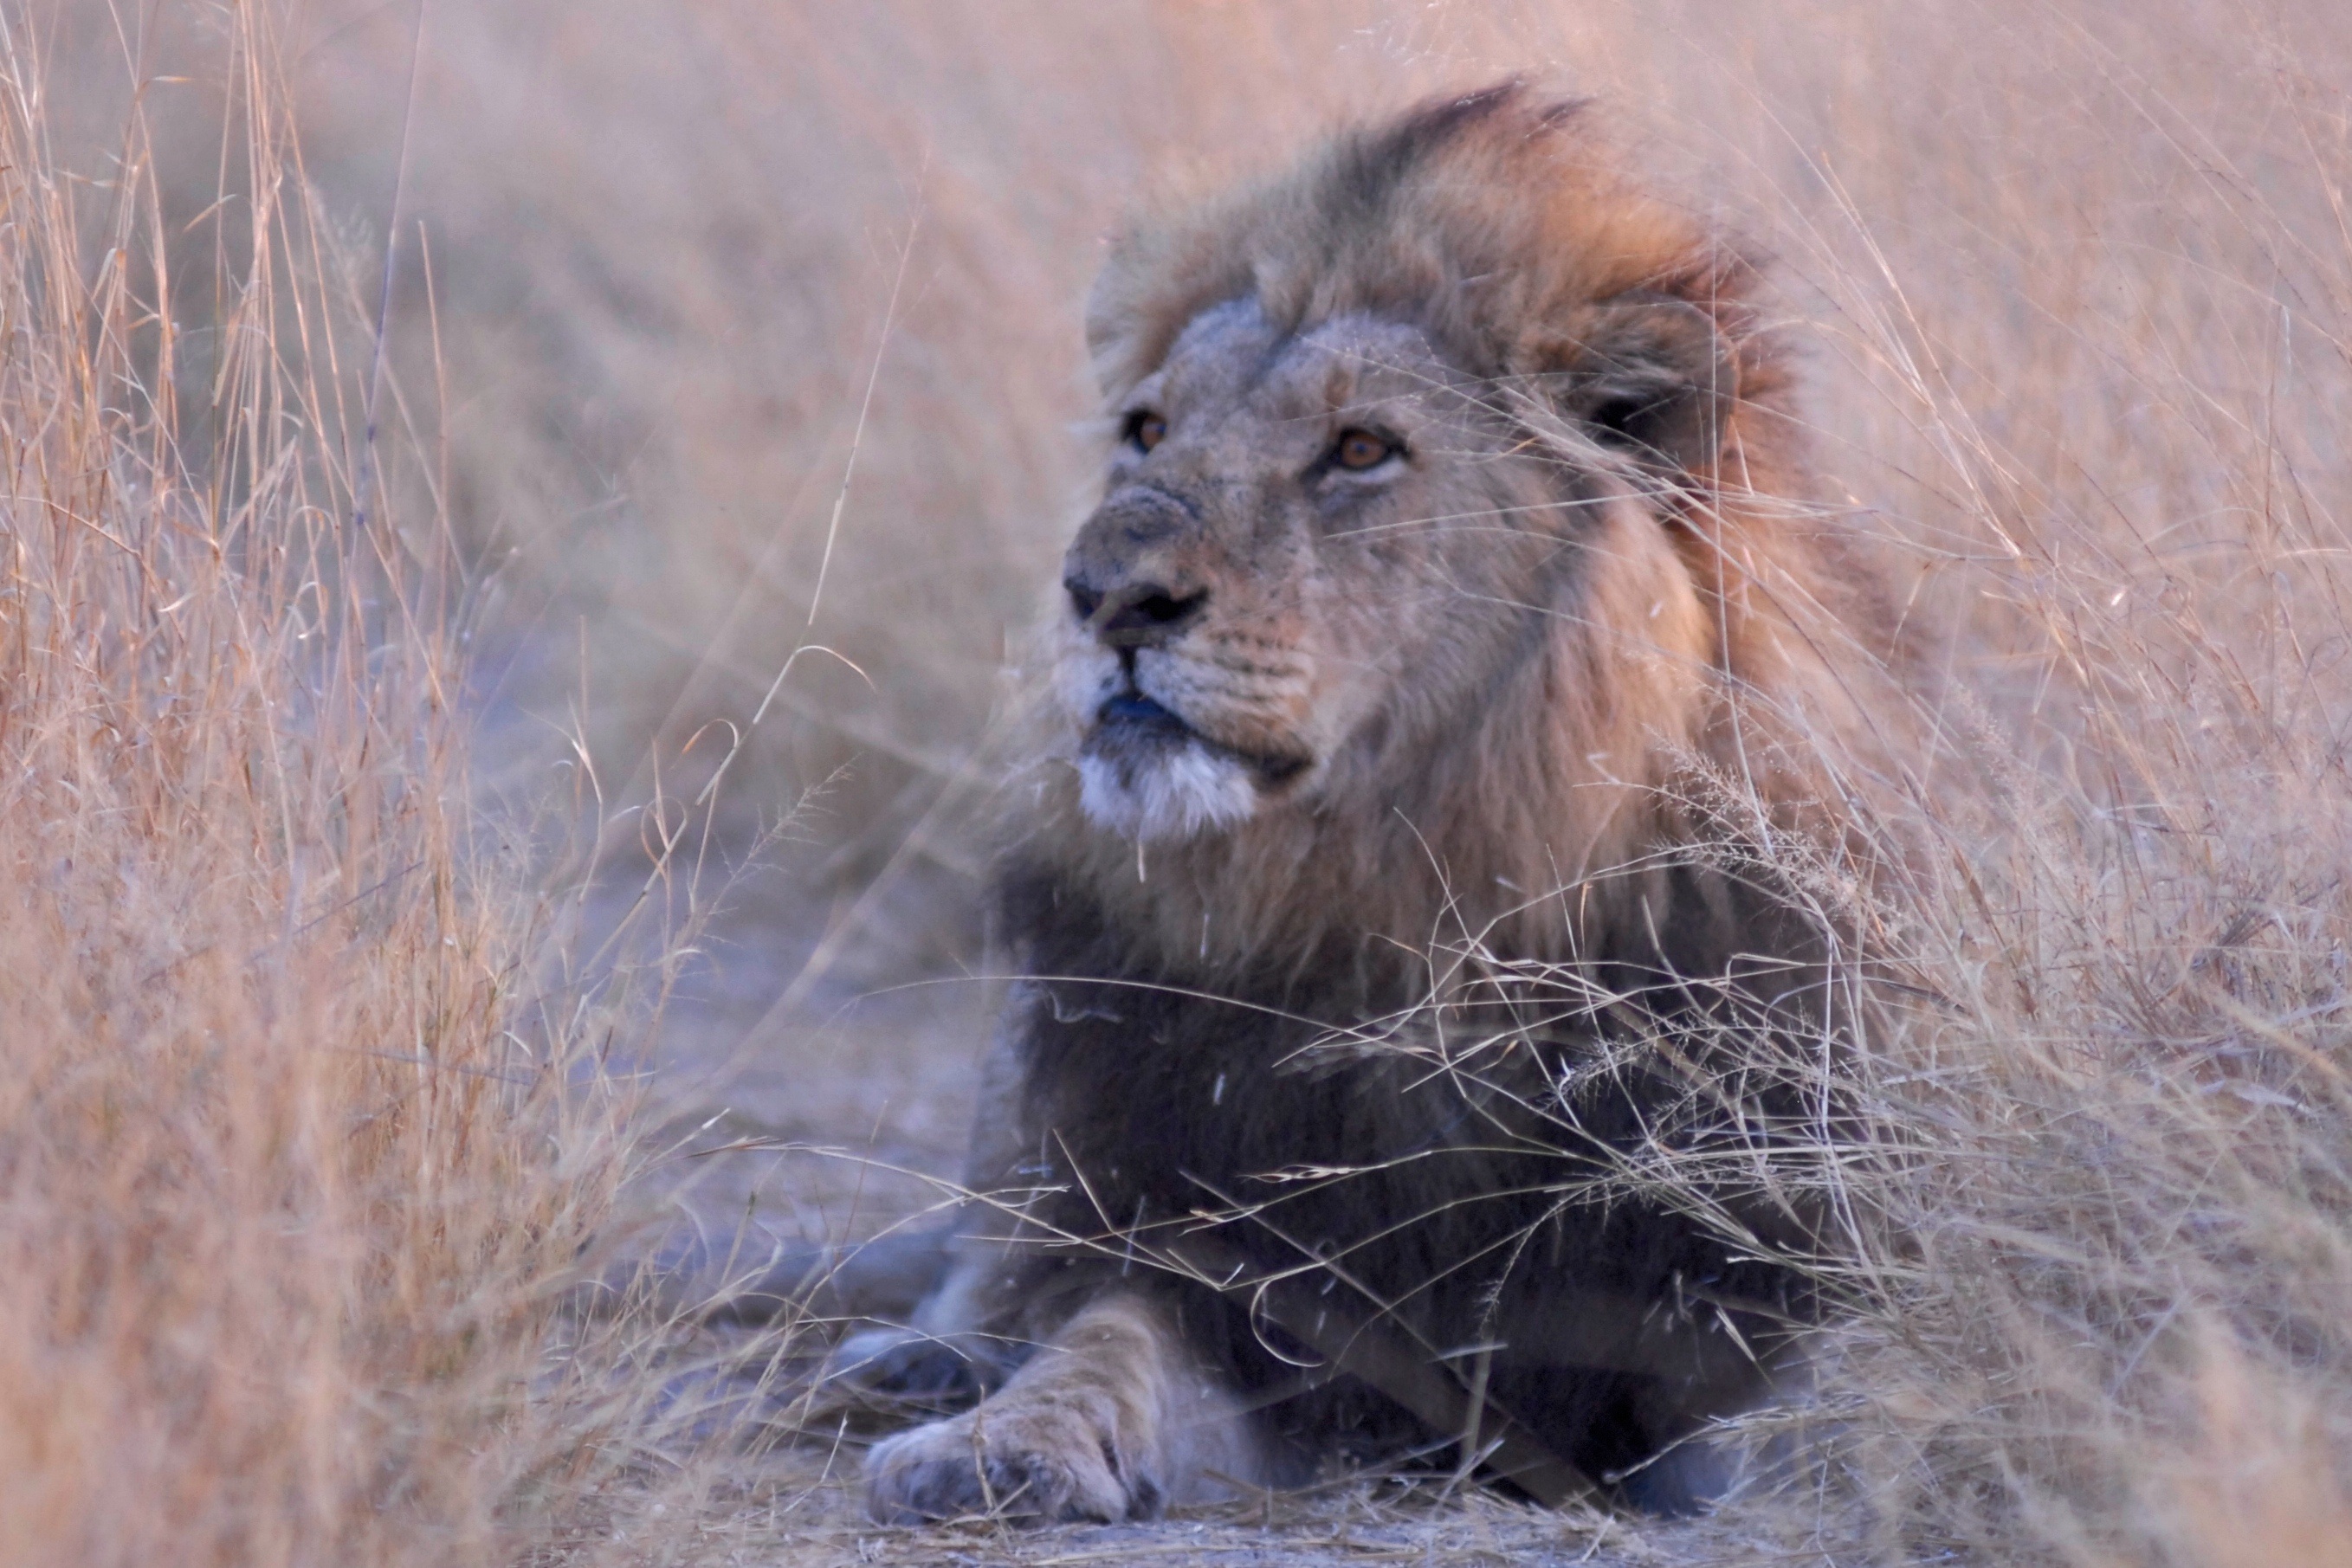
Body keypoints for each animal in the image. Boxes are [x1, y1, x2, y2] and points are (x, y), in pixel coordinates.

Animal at [858, 83, 1902, 1524]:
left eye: (1359, 449)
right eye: (1147, 432)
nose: (1102, 591)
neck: (1416, 910)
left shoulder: (1747, 1266)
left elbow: (1828, 1392)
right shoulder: (1238, 1276)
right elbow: (1104, 1329)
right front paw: (997, 1441)